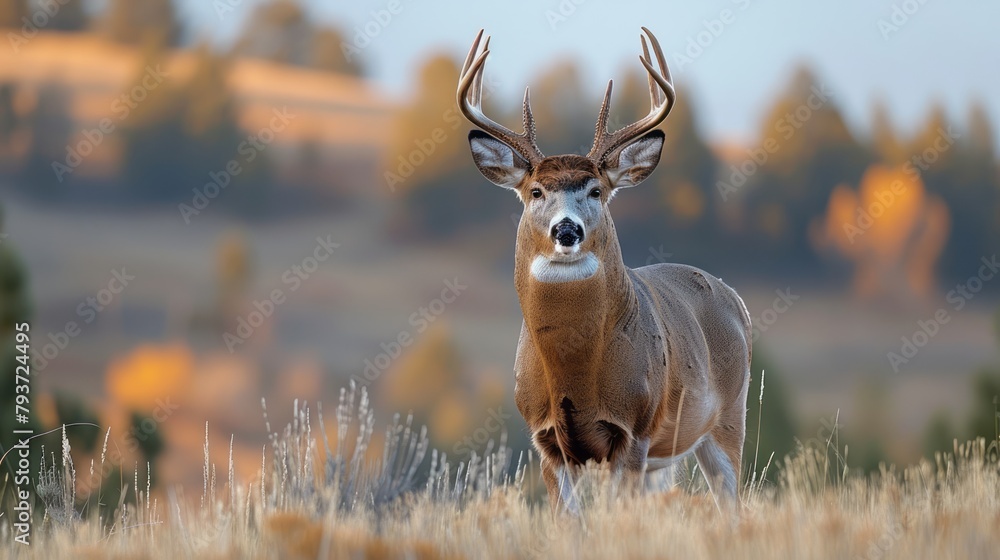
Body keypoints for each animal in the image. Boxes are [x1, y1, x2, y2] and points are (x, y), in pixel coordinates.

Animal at [457, 28, 753, 513]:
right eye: (536, 191)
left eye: (596, 190)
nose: (566, 229)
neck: (575, 369)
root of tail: (736, 300)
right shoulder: (546, 438)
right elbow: (568, 521)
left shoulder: (634, 428)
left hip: (727, 418)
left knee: (731, 502)